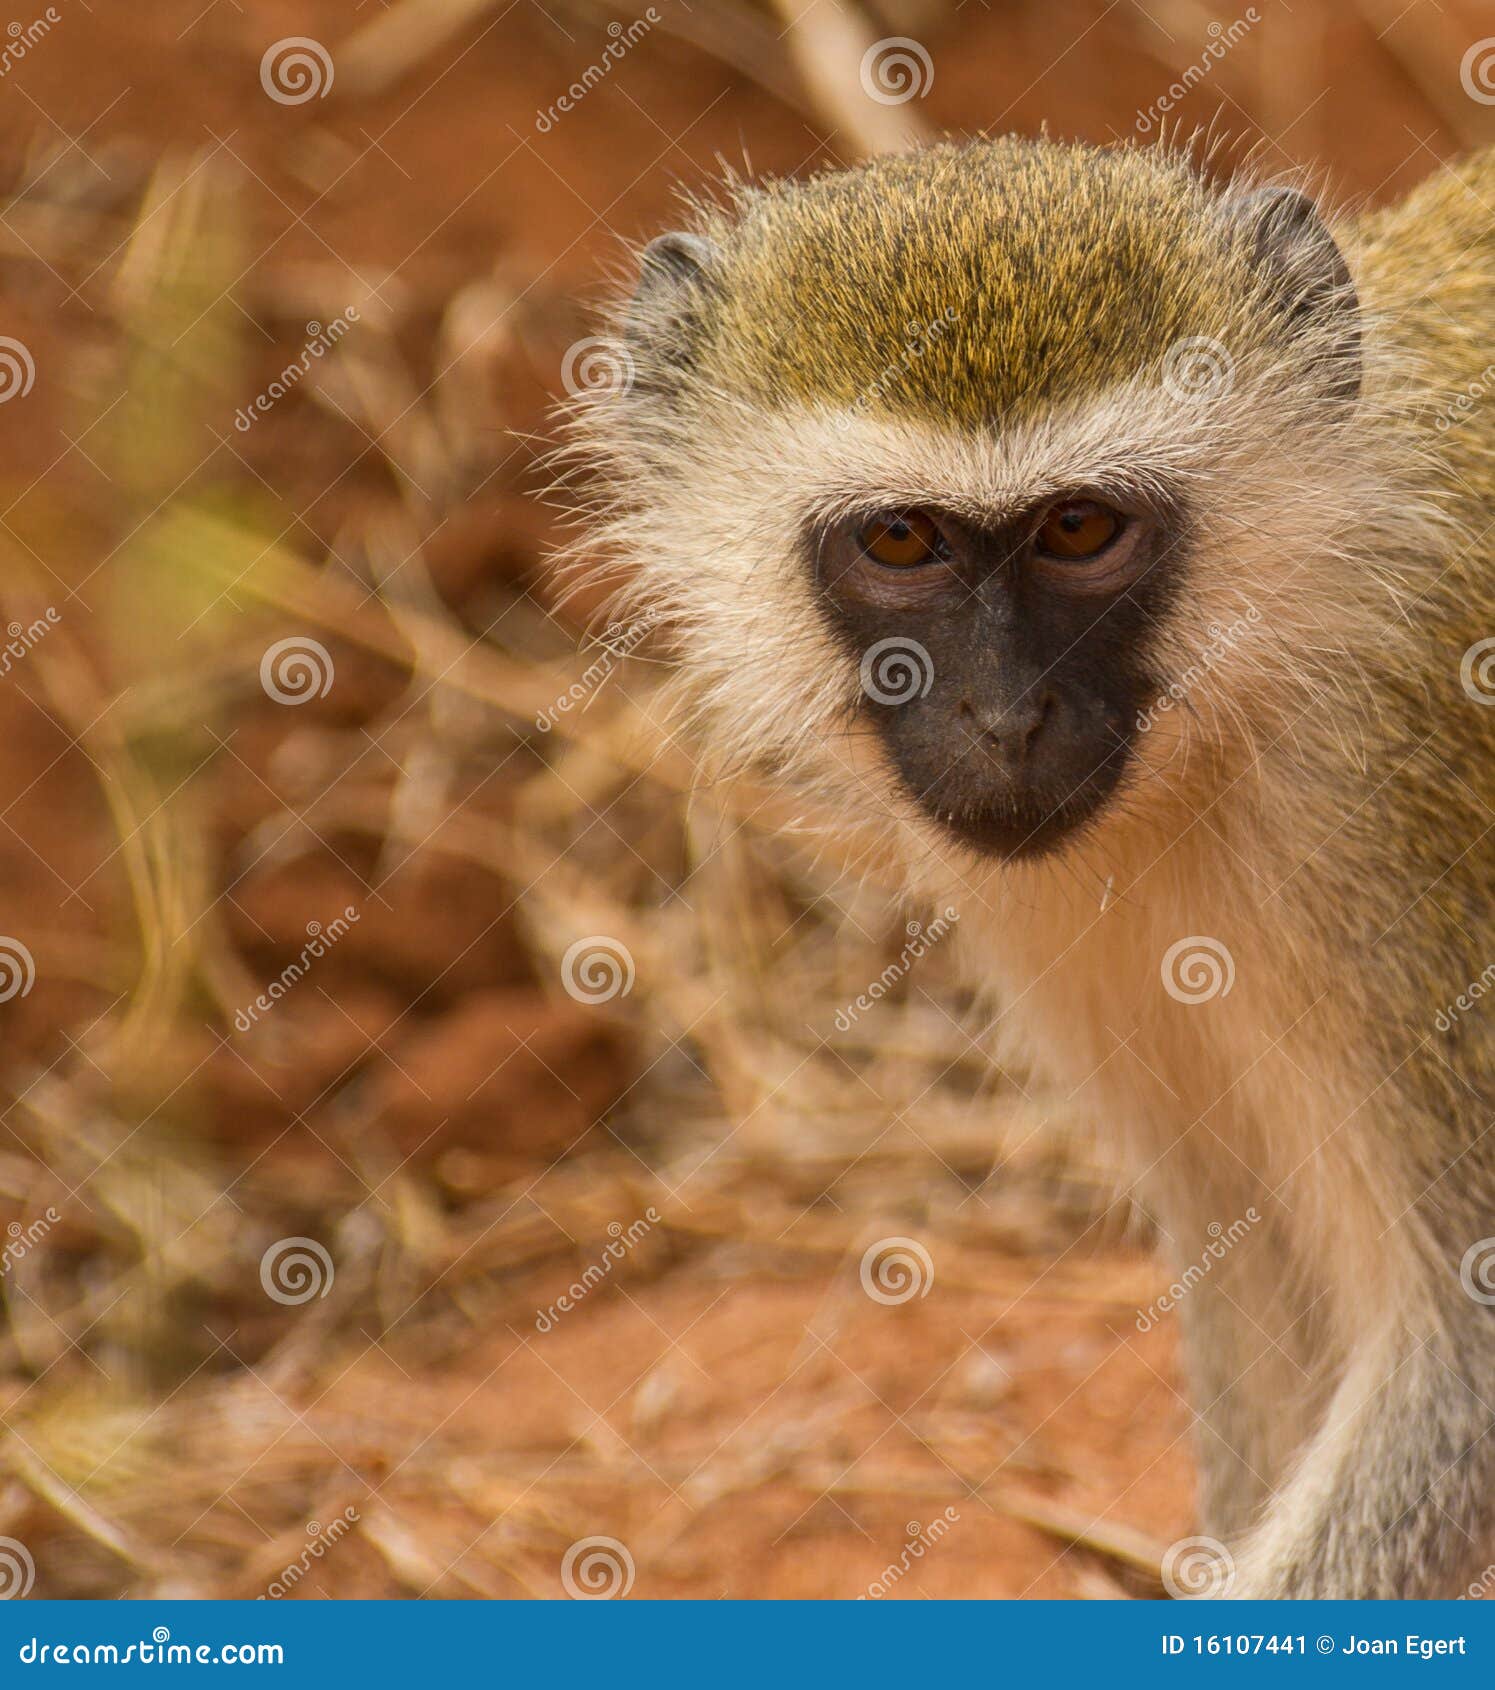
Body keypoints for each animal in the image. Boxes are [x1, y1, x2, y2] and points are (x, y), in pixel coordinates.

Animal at [563, 135, 1495, 1599]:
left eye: (1076, 529)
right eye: (900, 541)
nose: (1004, 718)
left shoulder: (1398, 817)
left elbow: (1463, 1347)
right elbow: (1254, 1277)